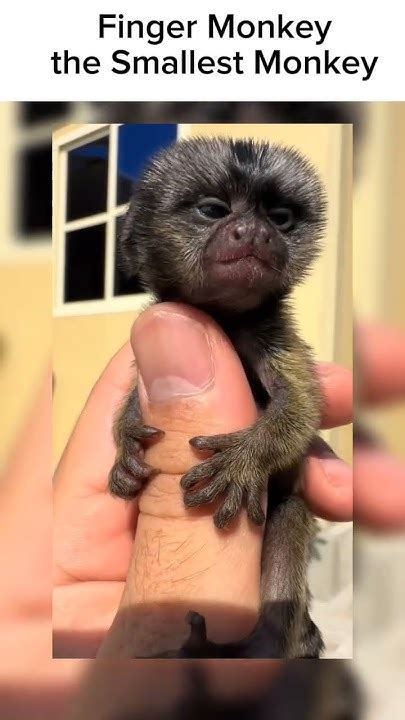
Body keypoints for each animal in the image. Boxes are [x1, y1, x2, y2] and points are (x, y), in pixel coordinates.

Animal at [108, 135, 328, 659]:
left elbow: (303, 407)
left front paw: (245, 459)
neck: (225, 317)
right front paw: (125, 436)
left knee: (290, 515)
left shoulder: (271, 334)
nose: (255, 232)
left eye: (279, 218)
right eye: (213, 210)